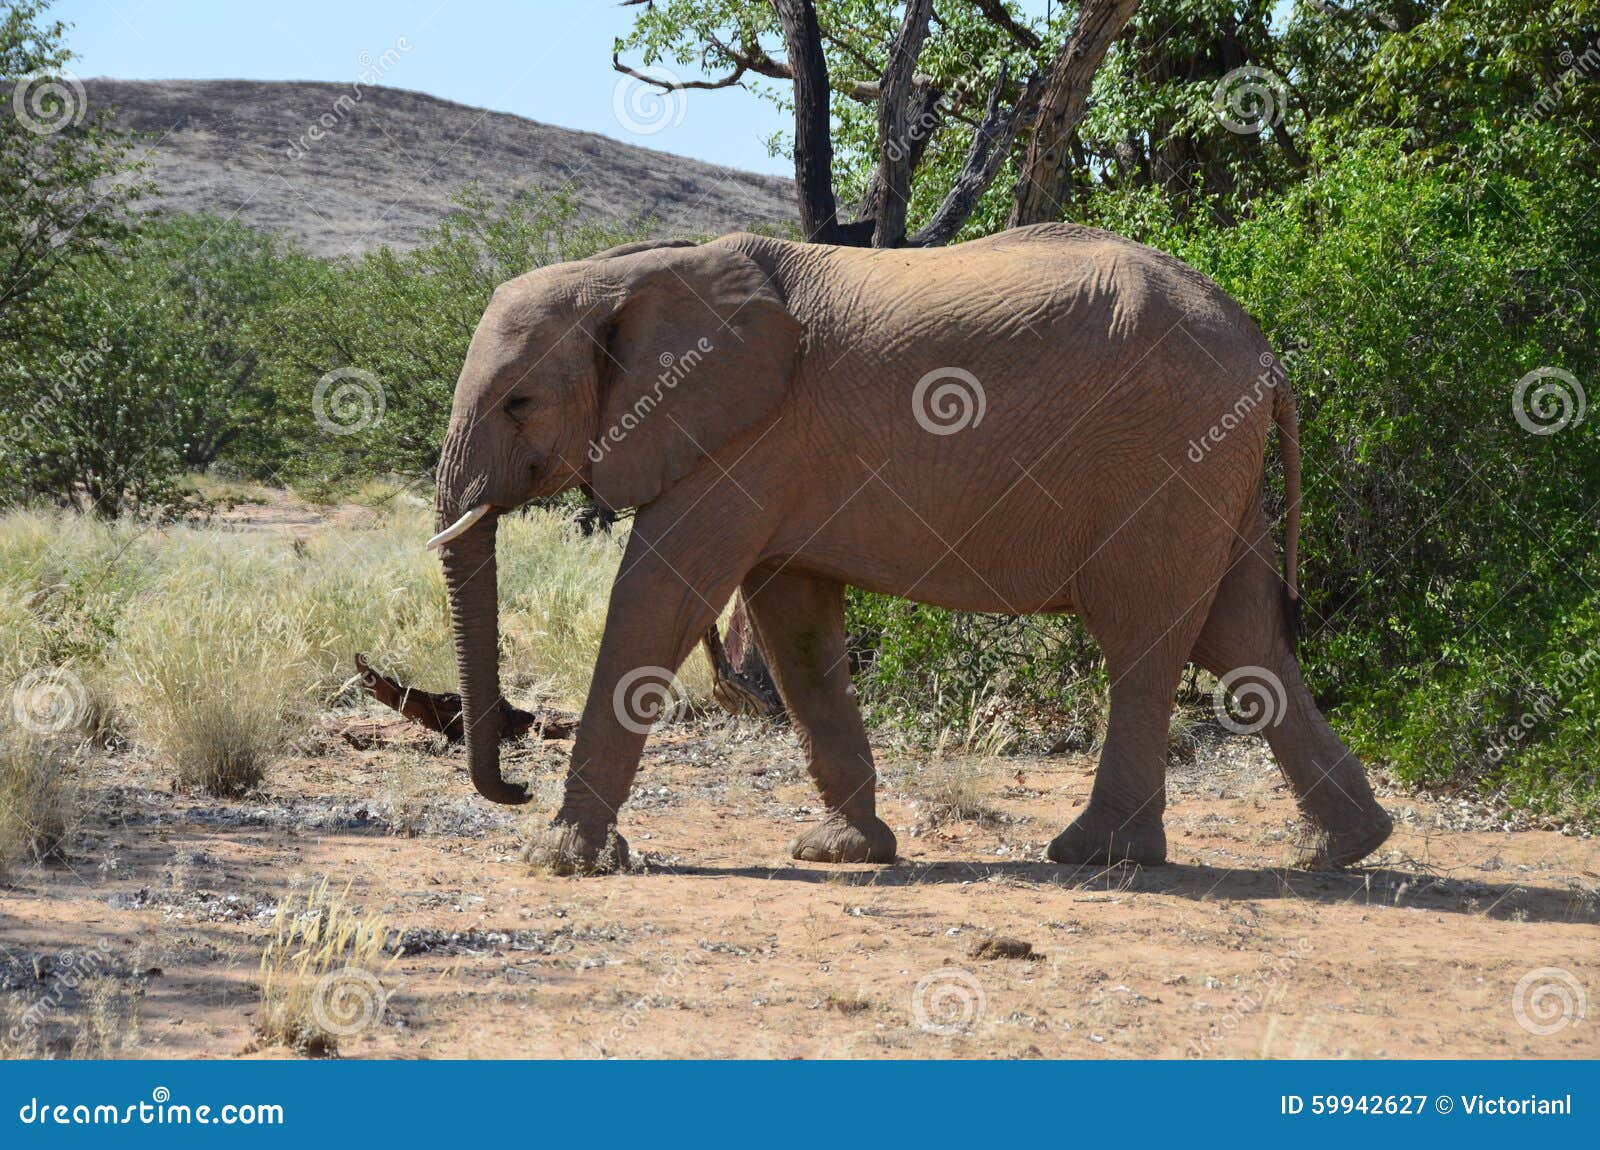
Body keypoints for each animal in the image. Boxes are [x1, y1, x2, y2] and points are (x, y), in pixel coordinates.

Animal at [428, 223, 1394, 874]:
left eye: (519, 402)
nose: (511, 786)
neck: (629, 270)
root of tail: (1267, 353)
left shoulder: (747, 440)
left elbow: (657, 599)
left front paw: (559, 860)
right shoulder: (777, 459)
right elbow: (796, 628)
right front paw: (840, 852)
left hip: (1168, 450)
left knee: (1146, 637)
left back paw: (1095, 854)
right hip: (1215, 460)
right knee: (1243, 634)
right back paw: (1341, 849)